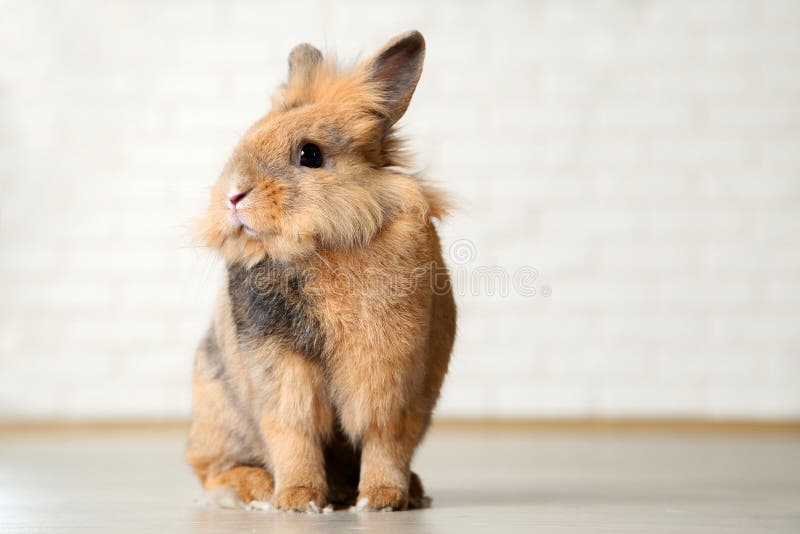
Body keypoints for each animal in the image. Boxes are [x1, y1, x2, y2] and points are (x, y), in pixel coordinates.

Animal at [185, 30, 456, 513]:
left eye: (309, 154)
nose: (233, 195)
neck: (321, 249)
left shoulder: (391, 377)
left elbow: (385, 439)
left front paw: (382, 499)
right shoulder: (282, 375)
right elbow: (295, 434)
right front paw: (298, 500)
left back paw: (404, 490)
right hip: (218, 412)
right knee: (216, 470)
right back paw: (257, 489)